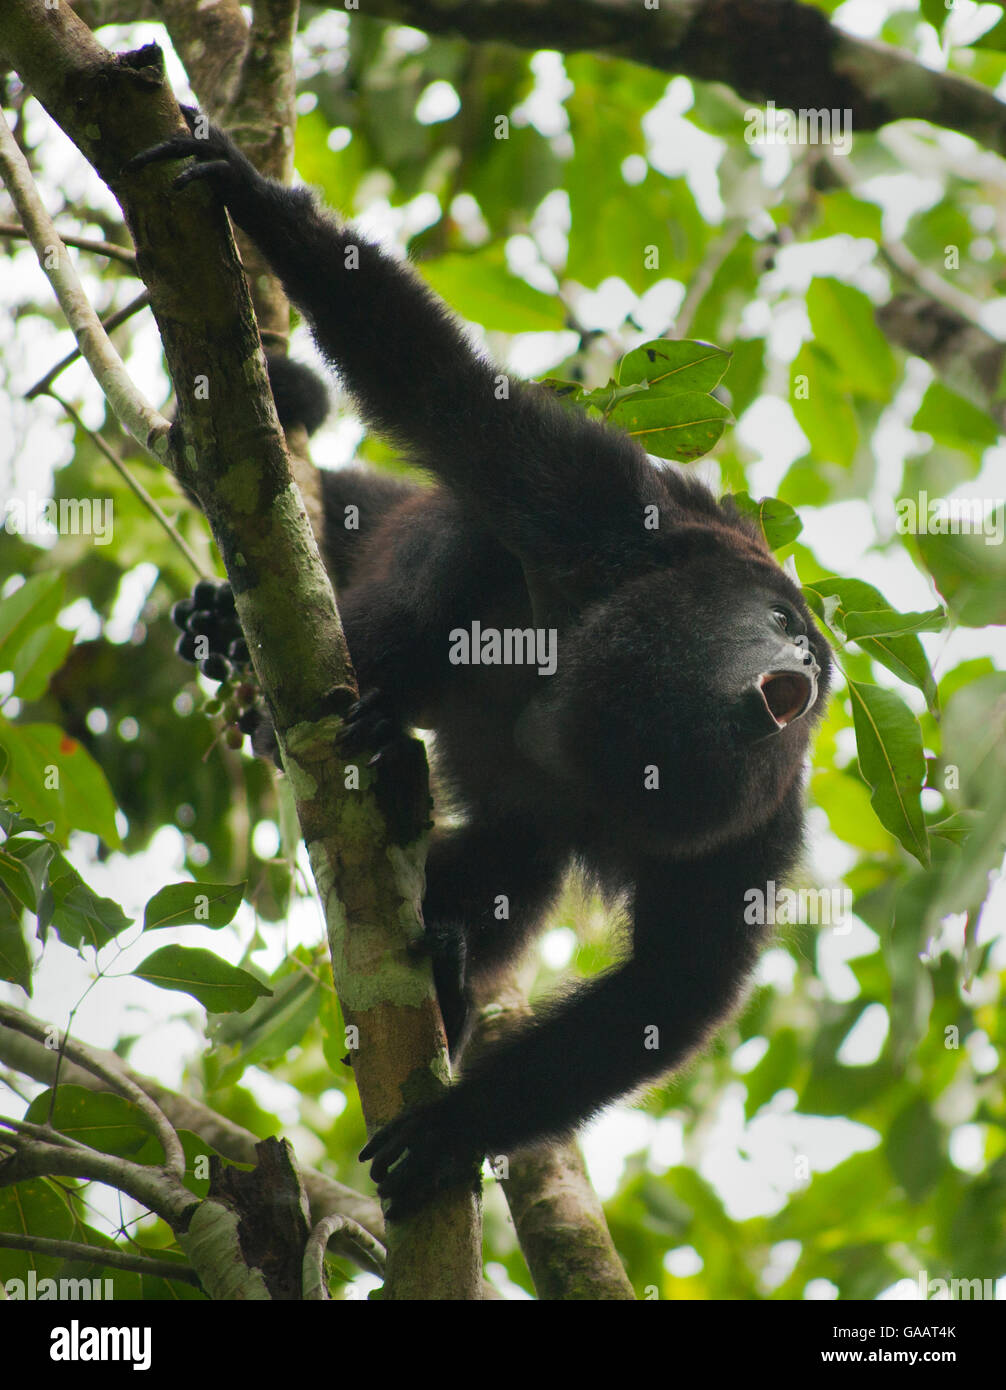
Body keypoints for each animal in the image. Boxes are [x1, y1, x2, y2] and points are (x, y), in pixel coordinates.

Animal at [129, 115, 832, 1219]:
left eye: (812, 658)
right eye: (778, 620)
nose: (803, 659)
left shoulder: (759, 832)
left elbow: (669, 993)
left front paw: (457, 1126)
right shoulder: (605, 508)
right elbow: (450, 400)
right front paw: (260, 202)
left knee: (521, 852)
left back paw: (452, 963)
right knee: (452, 556)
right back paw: (335, 707)